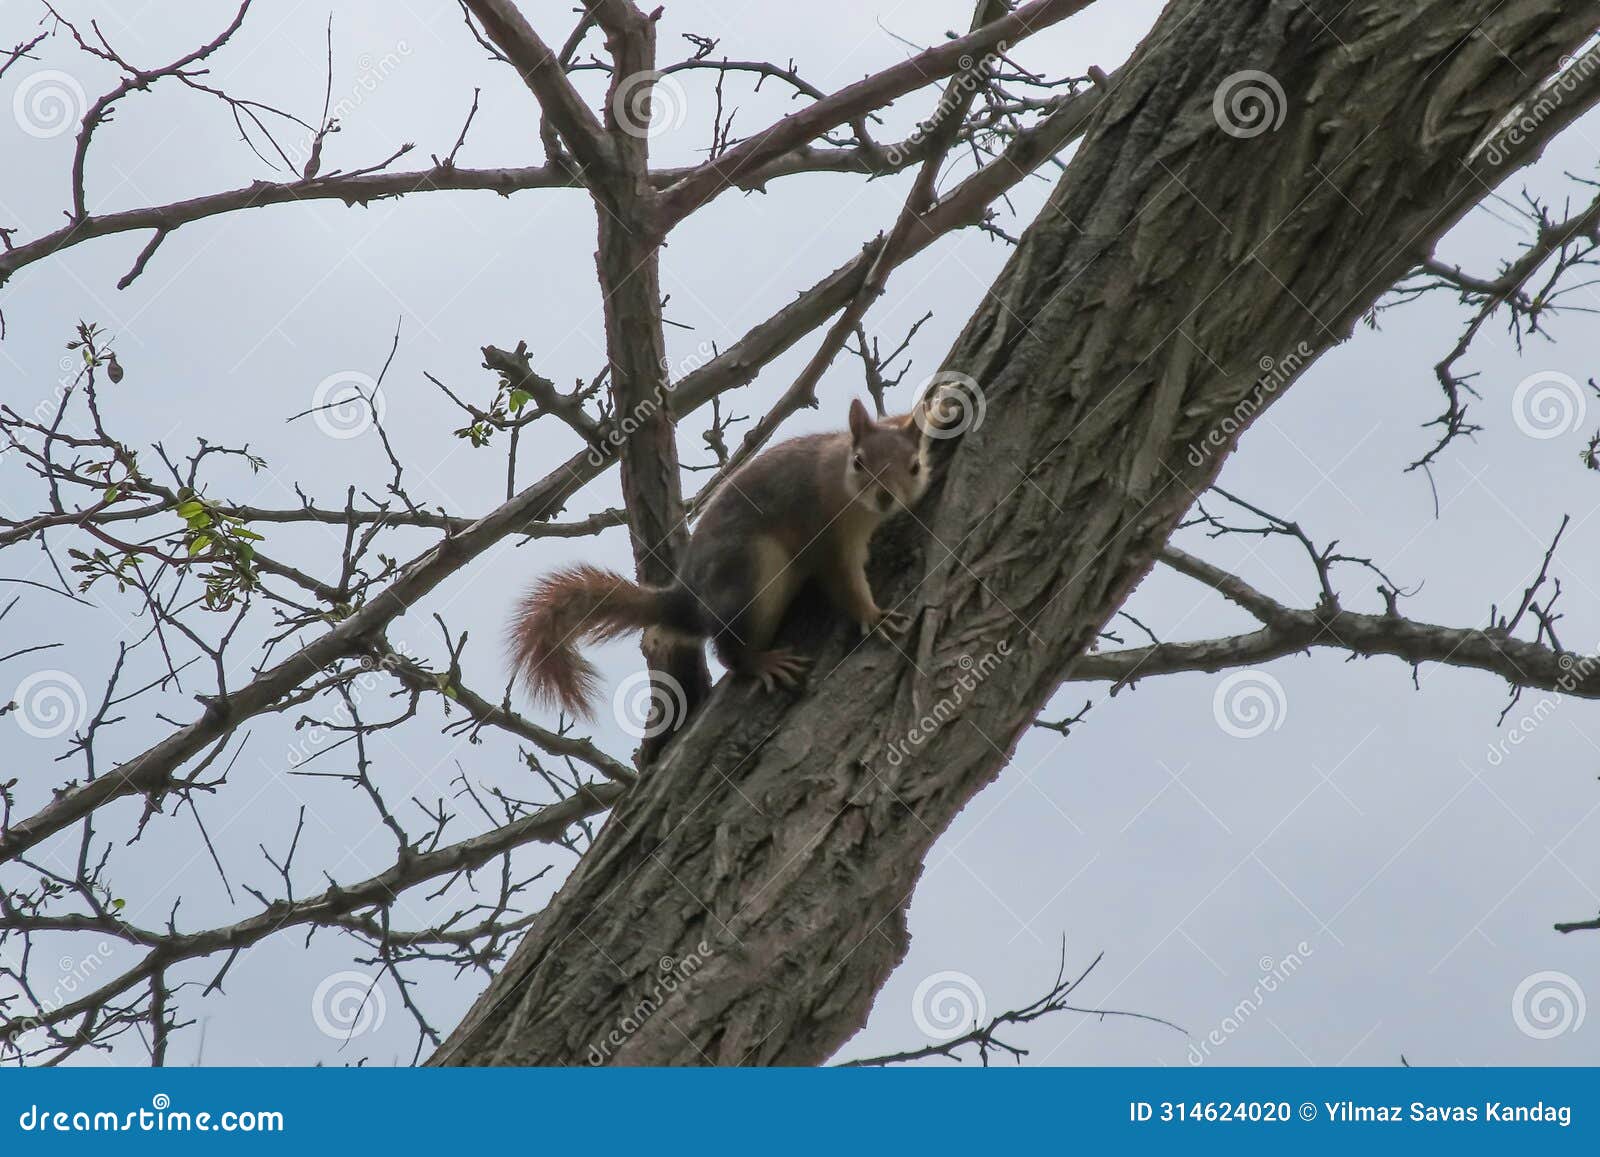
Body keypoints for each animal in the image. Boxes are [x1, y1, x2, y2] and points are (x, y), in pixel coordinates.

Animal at [509, 396, 935, 718]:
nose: (886, 497)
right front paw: (874, 616)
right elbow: (844, 581)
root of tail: (689, 601)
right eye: (859, 462)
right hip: (752, 573)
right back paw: (759, 662)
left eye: (915, 466)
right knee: (727, 649)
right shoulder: (827, 534)